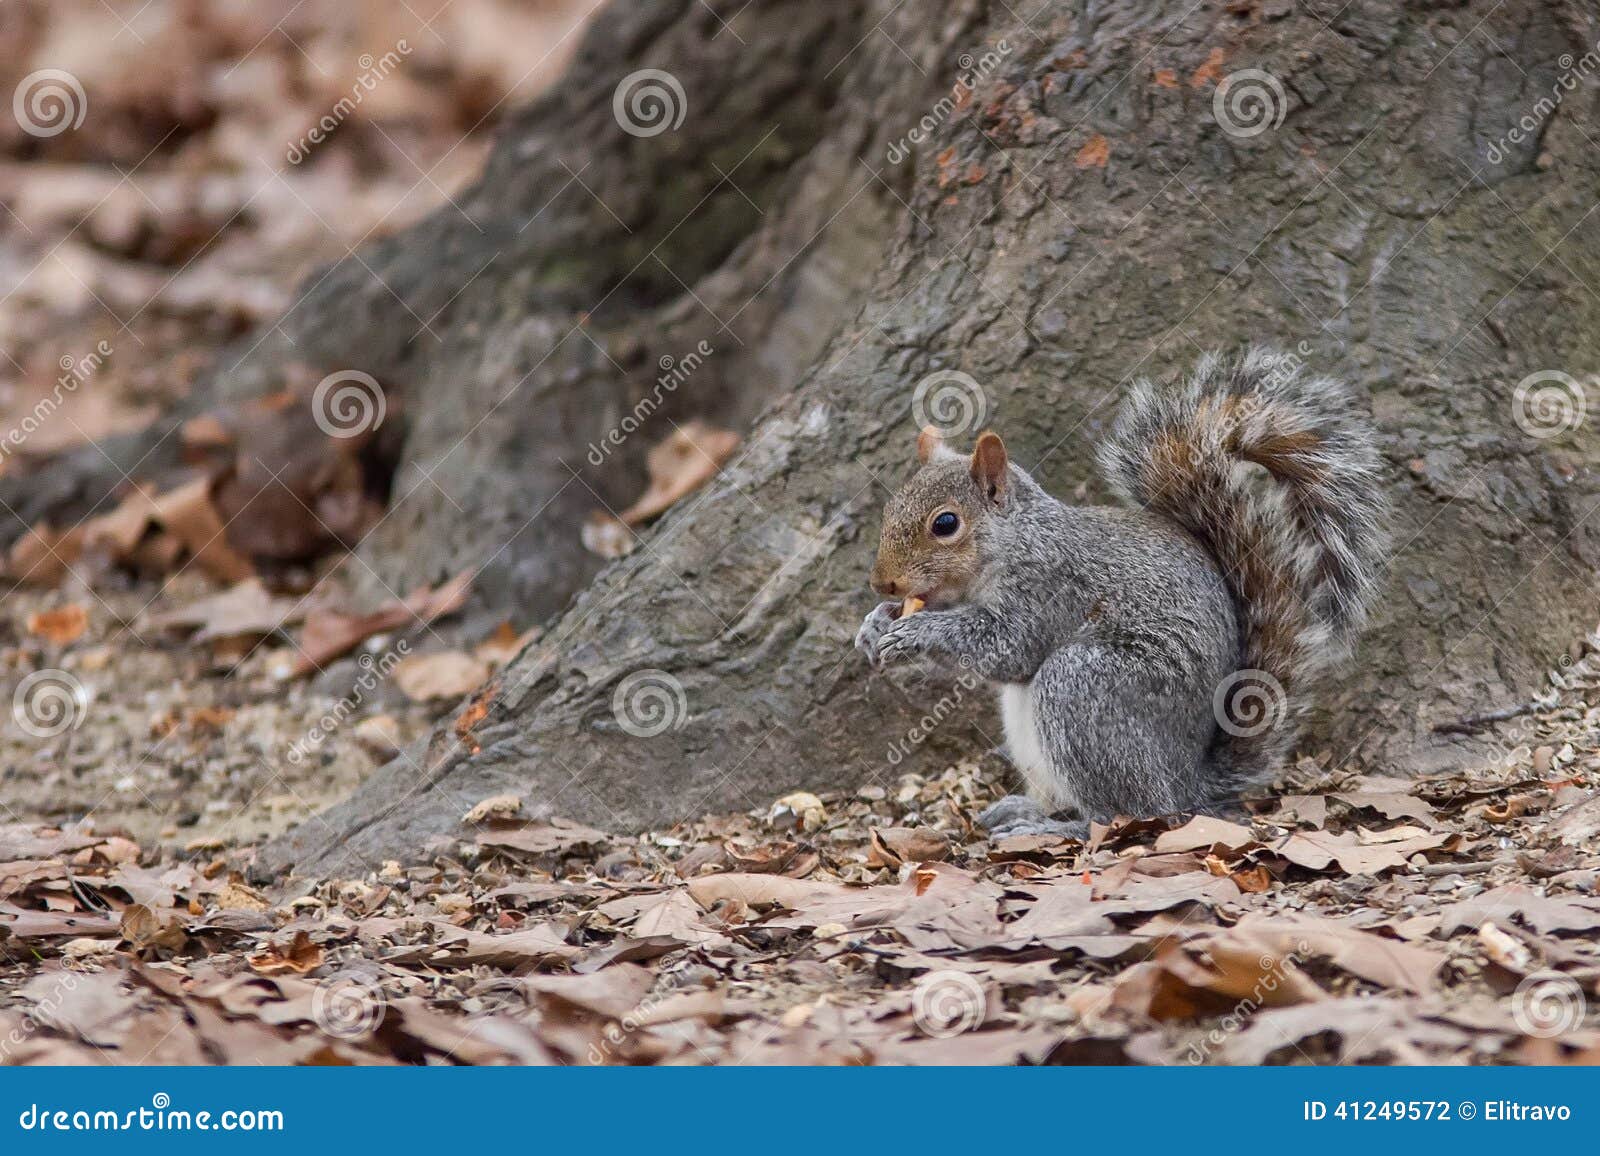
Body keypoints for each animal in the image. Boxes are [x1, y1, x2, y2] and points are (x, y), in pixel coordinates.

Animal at [854, 348, 1390, 839]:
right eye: (890, 508)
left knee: (1122, 811)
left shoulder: (1051, 589)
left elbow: (1007, 648)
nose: (883, 582)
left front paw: (917, 632)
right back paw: (1027, 809)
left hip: (1083, 687)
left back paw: (1051, 829)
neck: (1016, 541)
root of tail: (1186, 781)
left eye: (946, 524)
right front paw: (875, 624)